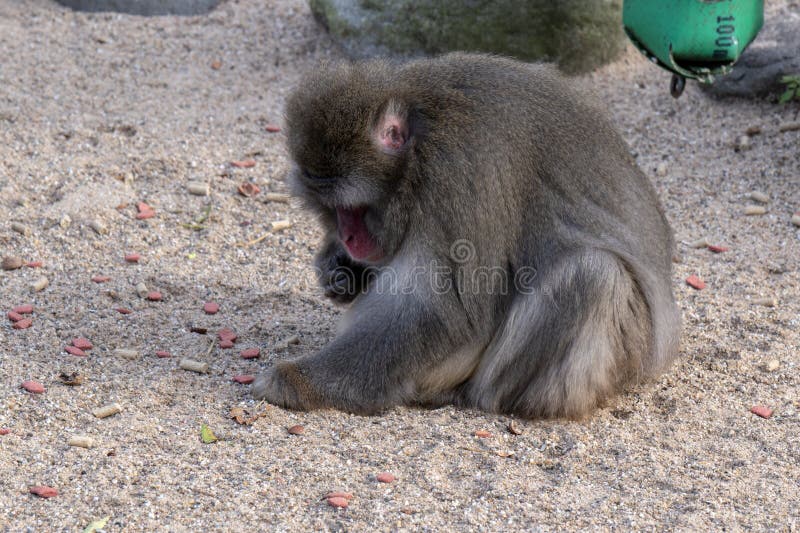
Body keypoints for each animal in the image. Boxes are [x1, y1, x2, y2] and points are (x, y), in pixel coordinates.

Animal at [252, 53, 681, 419]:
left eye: (355, 209)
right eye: (333, 212)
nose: (349, 239)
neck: (421, 137)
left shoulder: (459, 170)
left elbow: (441, 308)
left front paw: (299, 382)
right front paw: (338, 268)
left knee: (593, 274)